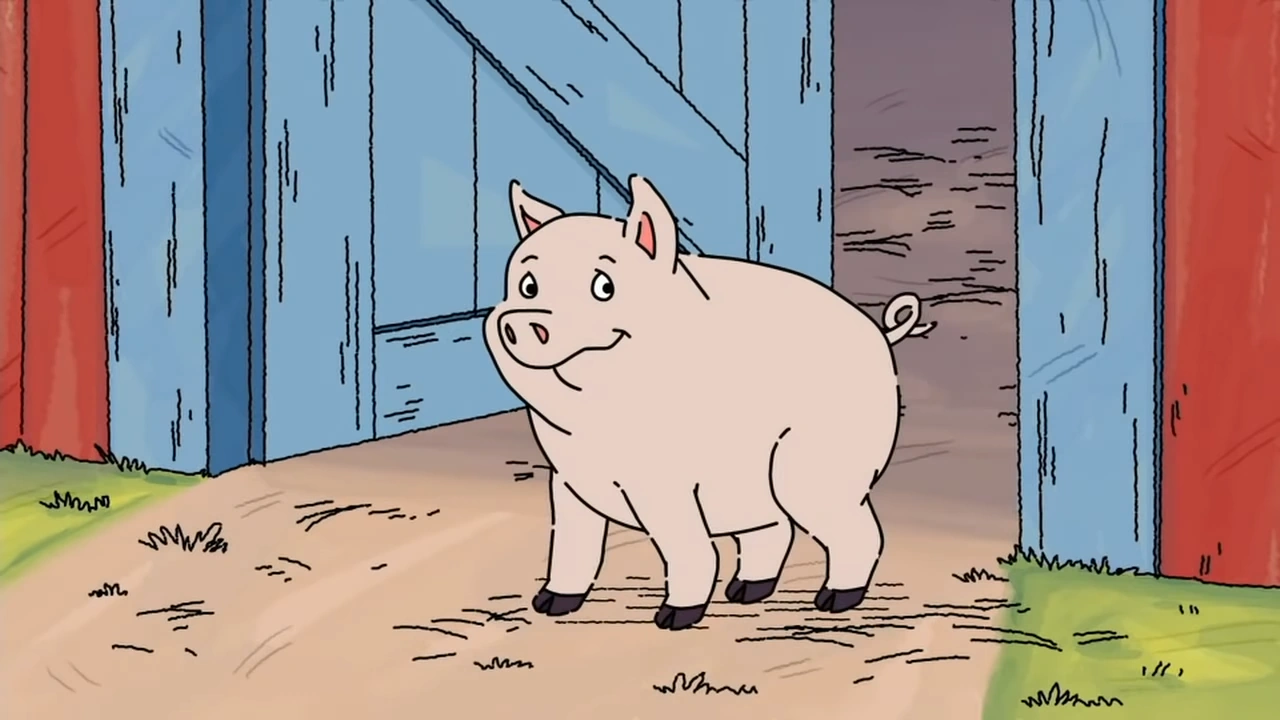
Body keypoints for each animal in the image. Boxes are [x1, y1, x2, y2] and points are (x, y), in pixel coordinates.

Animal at [483, 175, 933, 631]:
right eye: (528, 285)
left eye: (604, 287)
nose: (522, 320)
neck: (594, 416)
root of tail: (881, 334)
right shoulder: (568, 482)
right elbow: (573, 544)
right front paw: (548, 605)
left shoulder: (664, 482)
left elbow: (687, 546)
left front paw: (672, 619)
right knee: (774, 529)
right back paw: (745, 592)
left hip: (811, 469)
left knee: (857, 530)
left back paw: (833, 601)